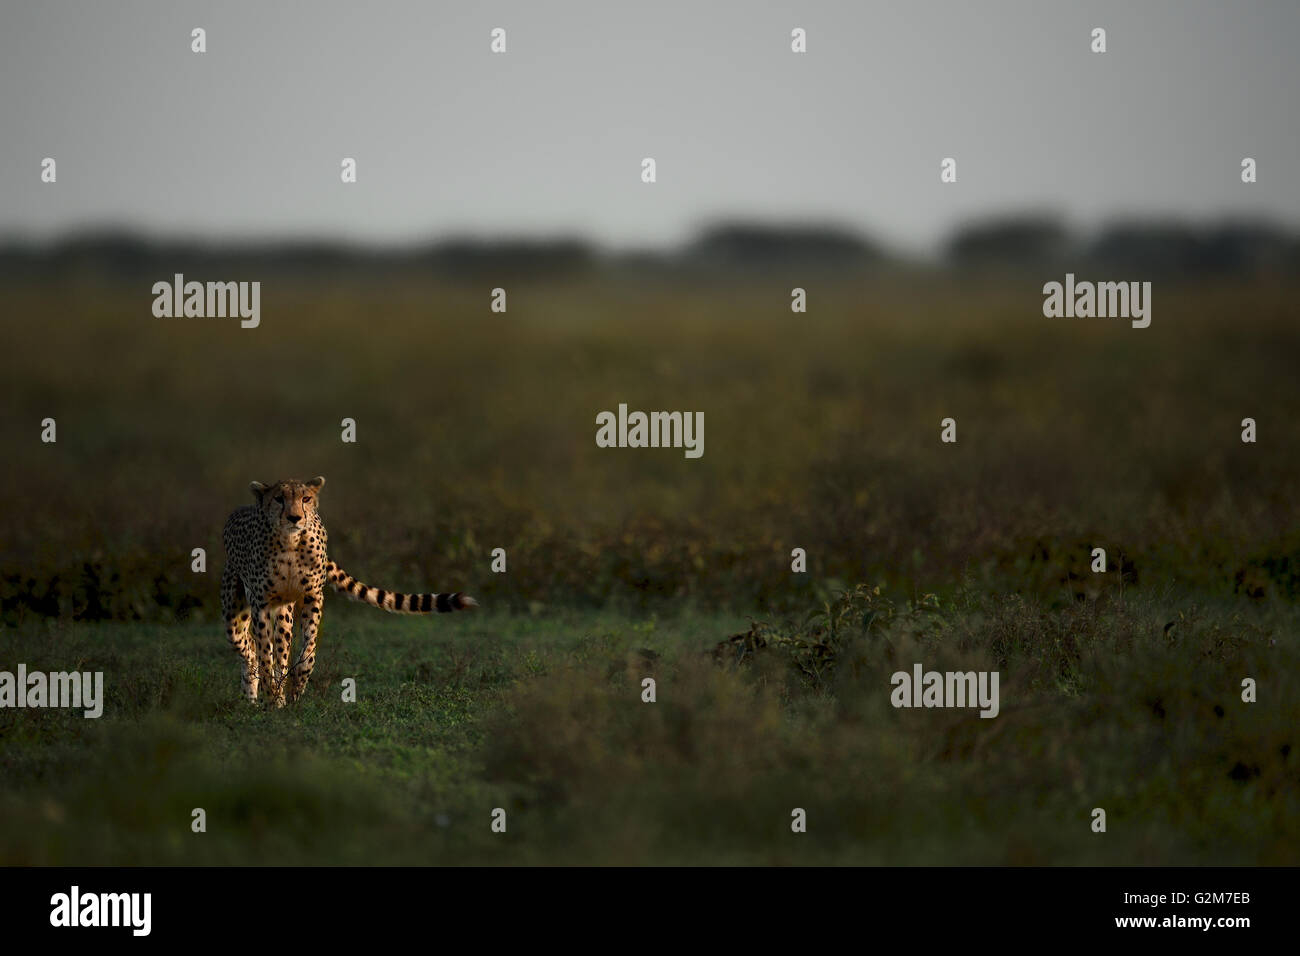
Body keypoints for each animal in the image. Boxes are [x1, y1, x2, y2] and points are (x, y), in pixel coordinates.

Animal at [220, 476, 477, 706]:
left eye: (305, 498)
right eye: (278, 499)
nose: (295, 517)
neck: (291, 542)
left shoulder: (312, 596)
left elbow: (307, 648)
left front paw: (297, 685)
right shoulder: (262, 603)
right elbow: (265, 653)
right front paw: (272, 695)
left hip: (283, 609)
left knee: (277, 647)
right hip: (235, 611)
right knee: (249, 646)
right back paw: (254, 696)